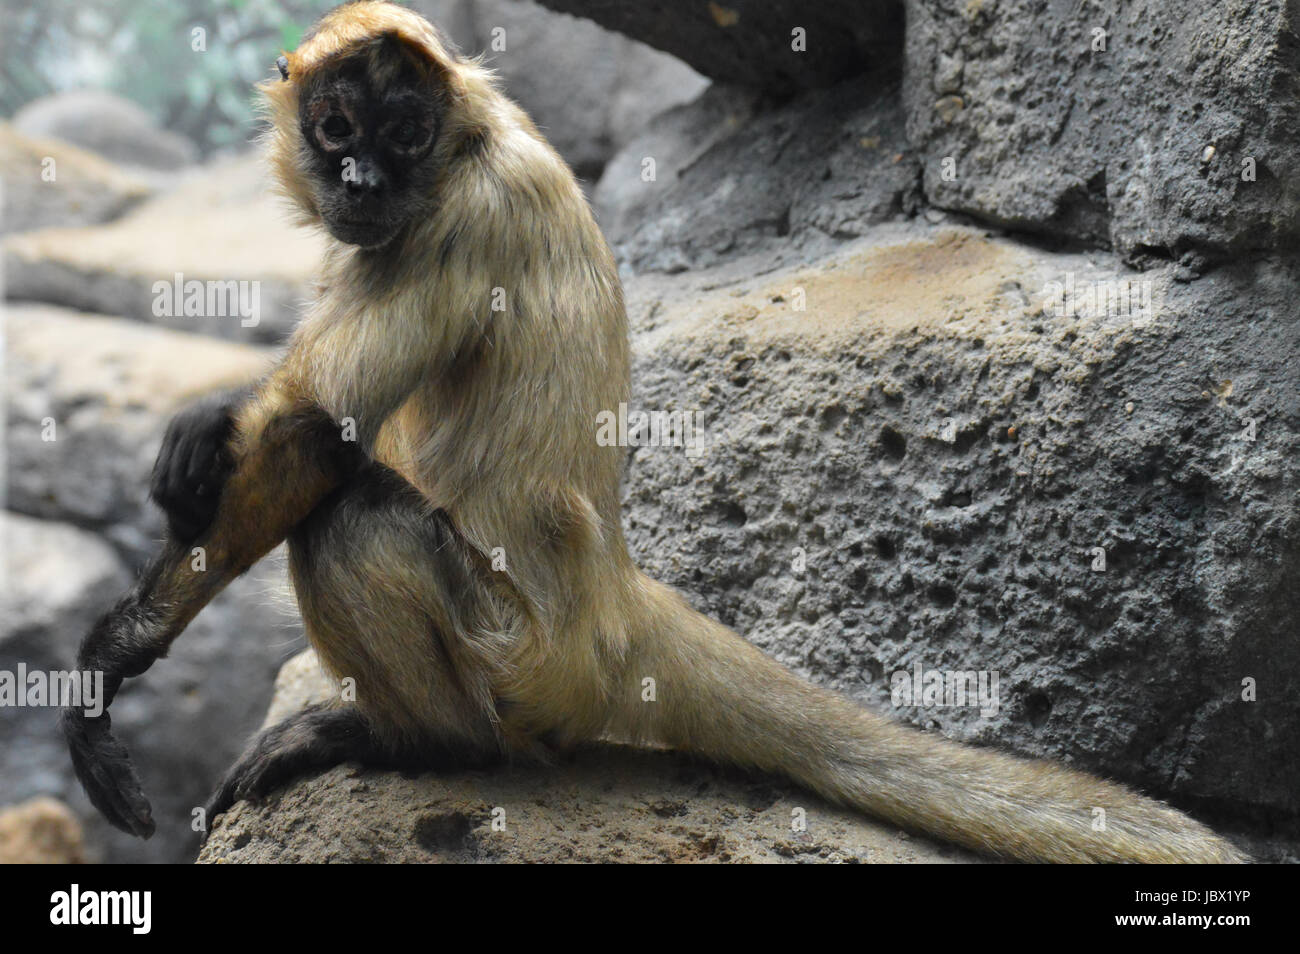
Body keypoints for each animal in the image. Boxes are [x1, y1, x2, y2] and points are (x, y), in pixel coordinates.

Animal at [61, 1, 1245, 863]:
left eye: (404, 133)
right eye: (338, 129)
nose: (361, 177)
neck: (472, 141)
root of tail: (618, 604)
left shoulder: (453, 218)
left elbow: (314, 435)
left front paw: (111, 659)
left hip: (516, 658)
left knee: (352, 518)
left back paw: (424, 745)